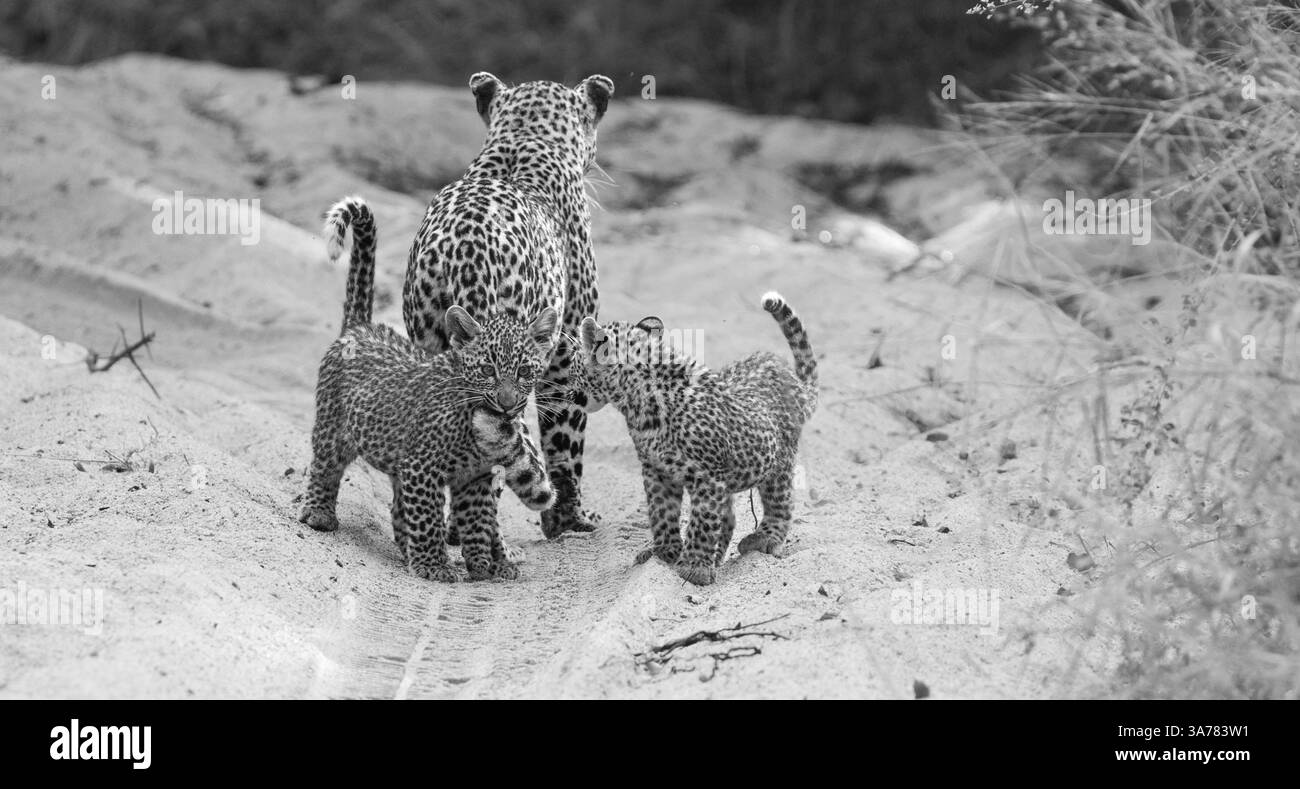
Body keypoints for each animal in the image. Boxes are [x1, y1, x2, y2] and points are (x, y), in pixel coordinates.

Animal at [299, 196, 557, 582]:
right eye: (487, 369)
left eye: (525, 370)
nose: (507, 404)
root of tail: (359, 327)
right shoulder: (423, 466)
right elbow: (429, 518)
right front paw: (435, 565)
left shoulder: (474, 479)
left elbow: (478, 521)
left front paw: (484, 566)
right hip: (333, 425)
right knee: (325, 465)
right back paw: (319, 514)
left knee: (395, 505)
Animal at [402, 71, 614, 545]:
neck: (524, 136)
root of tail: (461, 248)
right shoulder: (567, 349)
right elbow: (565, 441)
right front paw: (569, 521)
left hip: (427, 341)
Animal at [572, 292, 818, 586]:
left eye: (574, 364)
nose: (570, 394)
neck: (638, 404)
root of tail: (792, 379)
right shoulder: (656, 470)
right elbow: (661, 512)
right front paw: (665, 551)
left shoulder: (708, 477)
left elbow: (702, 521)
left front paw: (694, 567)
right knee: (730, 517)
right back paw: (719, 556)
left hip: (779, 460)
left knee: (780, 501)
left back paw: (764, 538)